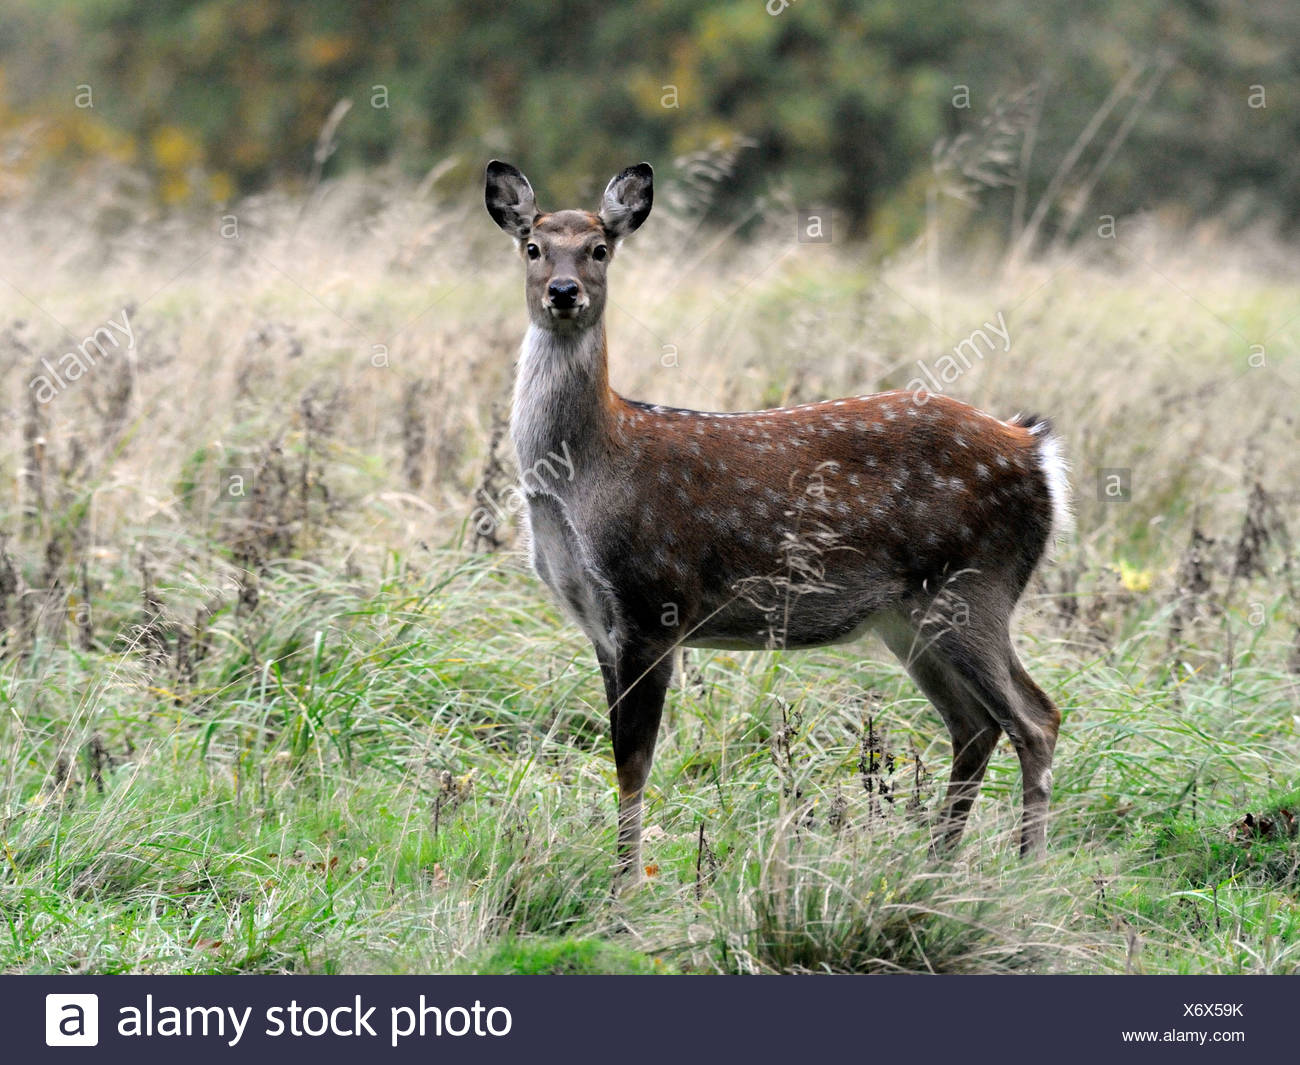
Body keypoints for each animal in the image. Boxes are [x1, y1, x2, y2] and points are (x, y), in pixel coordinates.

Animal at [485, 159, 1071, 887]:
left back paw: (1026, 871)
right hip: (910, 615)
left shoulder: (655, 604)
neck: (583, 477)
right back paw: (933, 867)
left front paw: (625, 886)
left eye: (599, 248)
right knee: (975, 724)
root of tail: (1037, 452)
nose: (563, 292)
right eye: (533, 247)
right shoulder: (601, 623)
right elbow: (624, 759)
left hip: (975, 584)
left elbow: (633, 765)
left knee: (1036, 717)